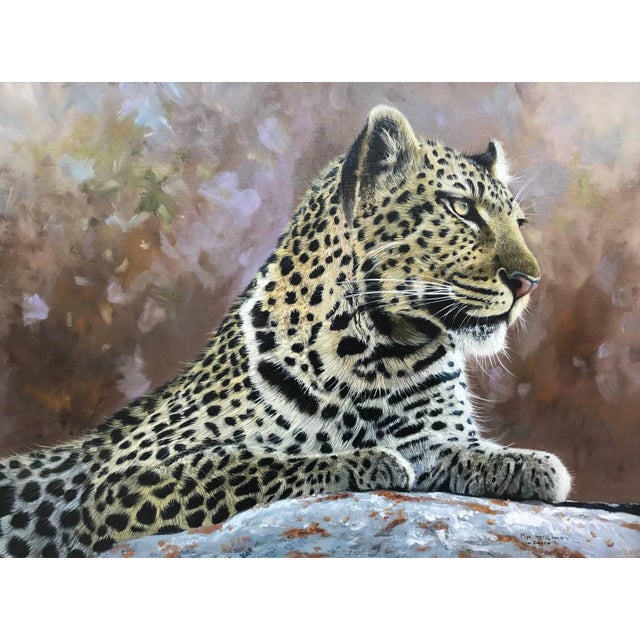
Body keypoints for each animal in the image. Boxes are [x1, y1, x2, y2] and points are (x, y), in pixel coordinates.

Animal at [0, 105, 572, 557]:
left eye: (519, 223)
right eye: (462, 209)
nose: (529, 281)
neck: (381, 354)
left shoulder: (432, 437)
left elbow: (462, 451)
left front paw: (534, 465)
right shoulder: (123, 480)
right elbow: (253, 464)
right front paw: (369, 461)